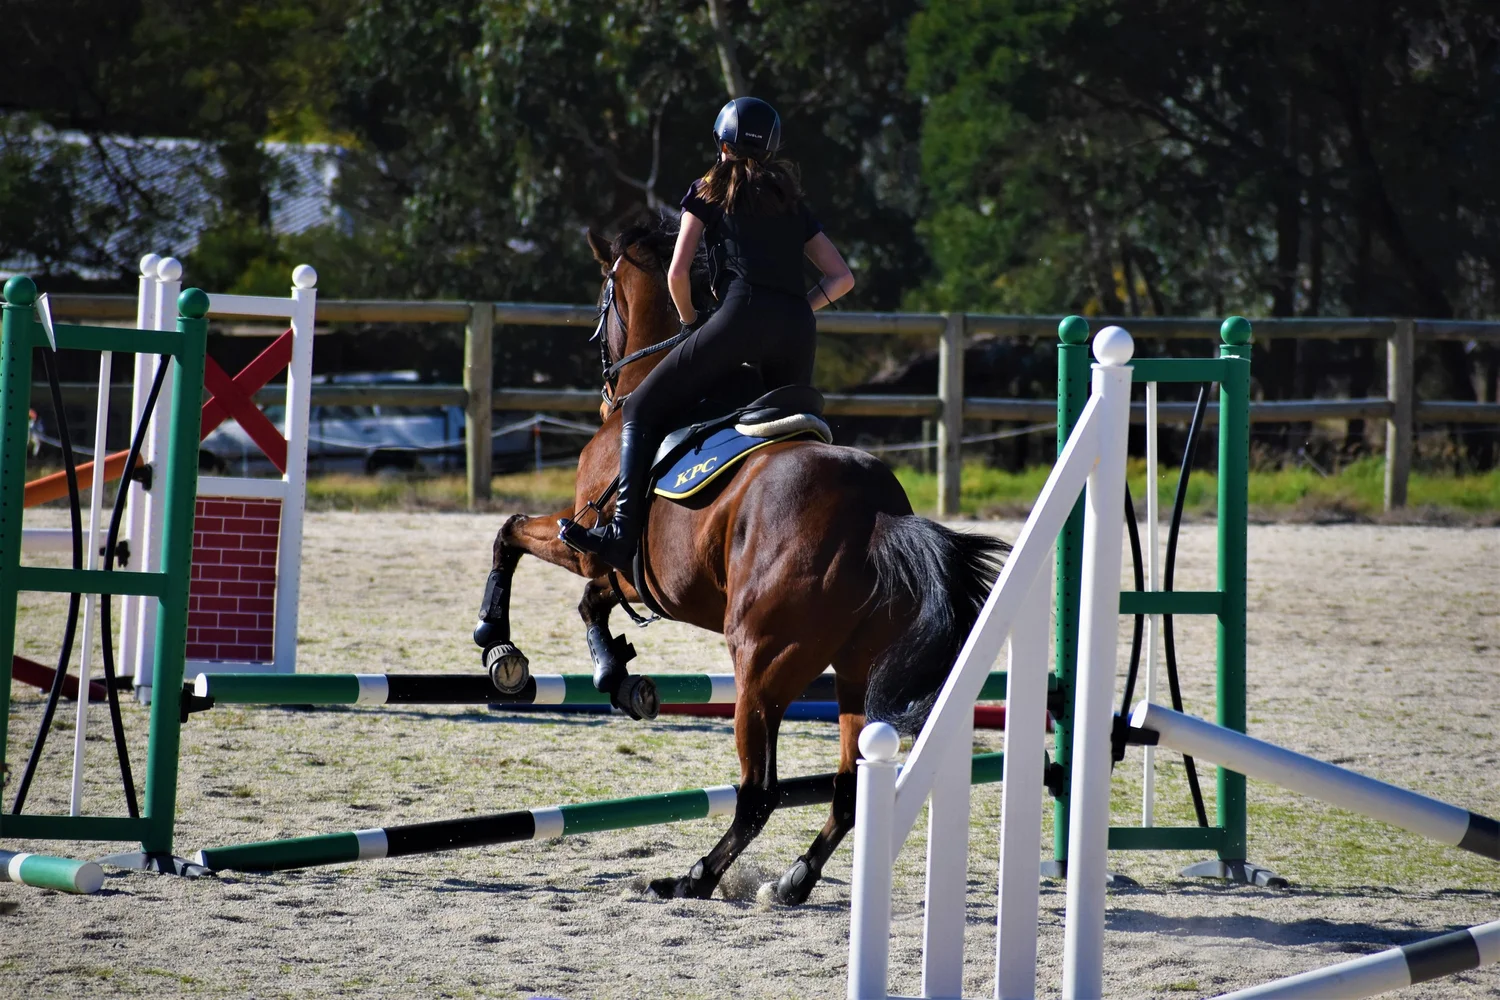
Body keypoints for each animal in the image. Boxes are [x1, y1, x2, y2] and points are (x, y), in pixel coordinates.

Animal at [472, 219, 1008, 903]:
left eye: (602, 299)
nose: (602, 392)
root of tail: (876, 515)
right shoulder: (630, 576)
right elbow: (592, 605)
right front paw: (619, 675)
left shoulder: (588, 543)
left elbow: (512, 534)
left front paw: (498, 643)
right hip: (856, 672)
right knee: (846, 790)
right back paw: (793, 881)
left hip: (758, 664)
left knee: (758, 793)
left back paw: (692, 878)